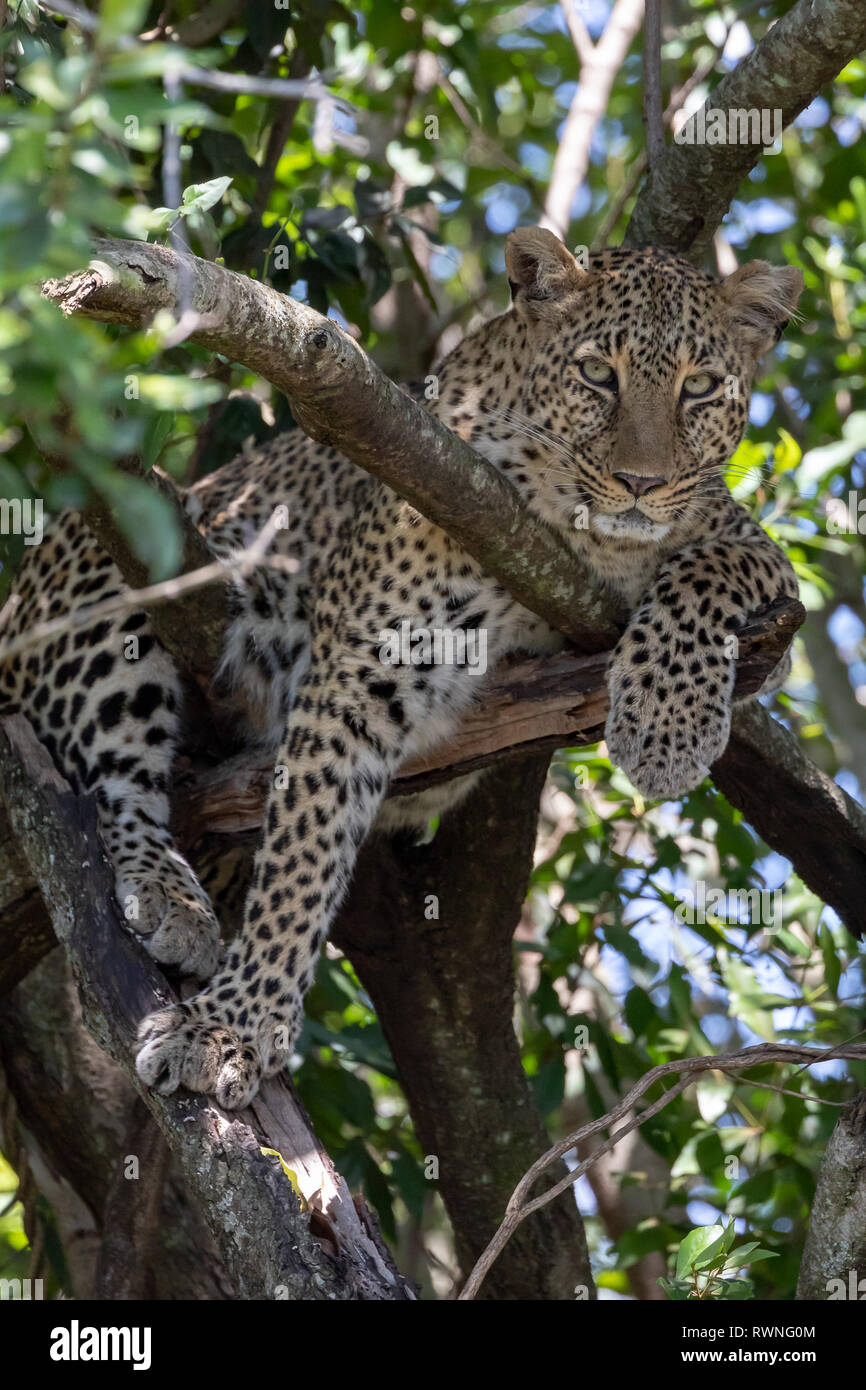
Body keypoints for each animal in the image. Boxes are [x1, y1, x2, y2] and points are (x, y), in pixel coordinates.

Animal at [0, 227, 803, 1109]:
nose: (641, 483)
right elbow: (303, 859)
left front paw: (666, 727)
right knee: (113, 785)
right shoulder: (355, 670)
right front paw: (229, 1028)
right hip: (108, 556)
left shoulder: (750, 552)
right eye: (599, 374)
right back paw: (169, 897)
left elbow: (702, 577)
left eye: (700, 388)